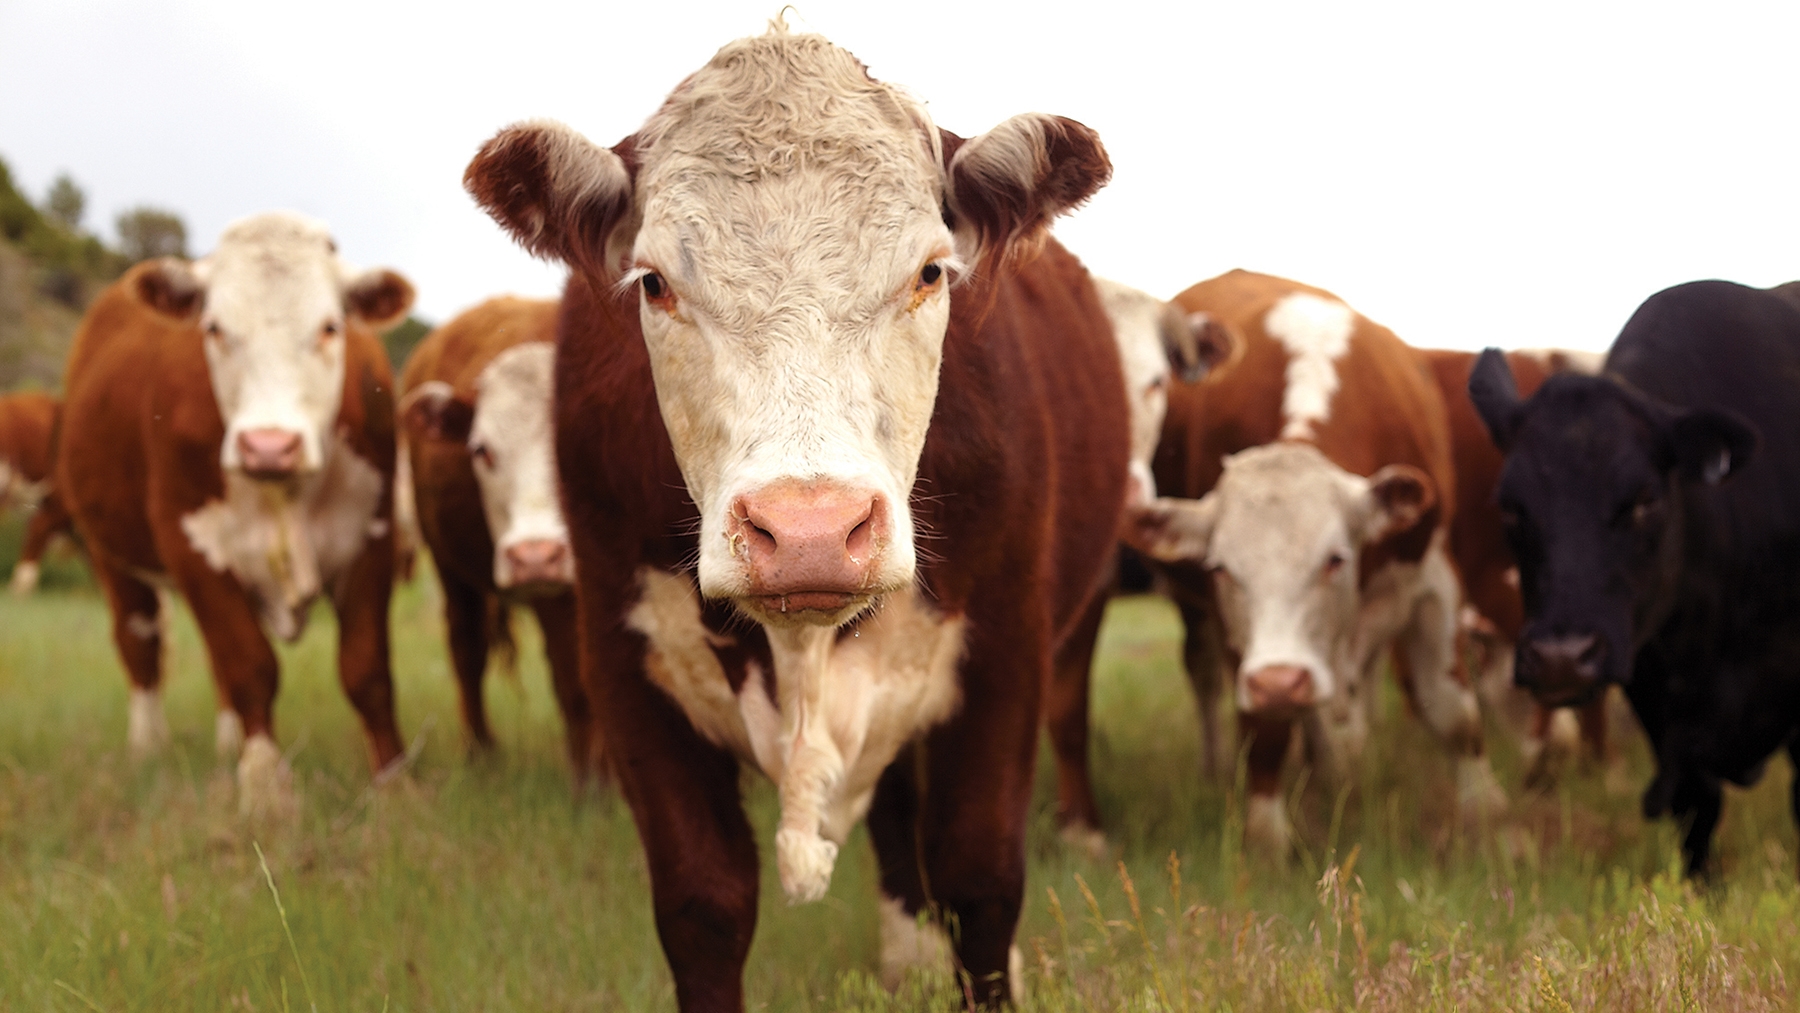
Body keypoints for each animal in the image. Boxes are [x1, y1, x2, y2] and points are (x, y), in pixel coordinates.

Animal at [56, 211, 414, 816]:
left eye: (330, 327)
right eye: (215, 328)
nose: (268, 446)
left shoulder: (372, 536)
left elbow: (367, 668)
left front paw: (393, 783)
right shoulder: (193, 548)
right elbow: (249, 665)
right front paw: (265, 787)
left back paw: (226, 743)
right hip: (111, 554)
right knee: (140, 641)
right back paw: (148, 747)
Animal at [397, 296, 600, 781]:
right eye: (481, 450)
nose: (535, 555)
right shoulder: (557, 595)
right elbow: (576, 684)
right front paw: (594, 781)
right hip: (452, 573)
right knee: (467, 650)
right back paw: (481, 752)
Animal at [464, 24, 1121, 1008]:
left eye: (931, 272)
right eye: (653, 283)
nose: (810, 532)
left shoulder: (1009, 647)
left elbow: (980, 878)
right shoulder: (625, 666)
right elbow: (702, 899)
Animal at [1121, 269, 1503, 856]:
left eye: (1335, 559)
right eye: (1221, 568)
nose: (1281, 680)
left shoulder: (1433, 579)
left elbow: (1453, 713)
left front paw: (1492, 825)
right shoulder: (1243, 643)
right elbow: (1266, 731)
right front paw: (1267, 842)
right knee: (1208, 677)